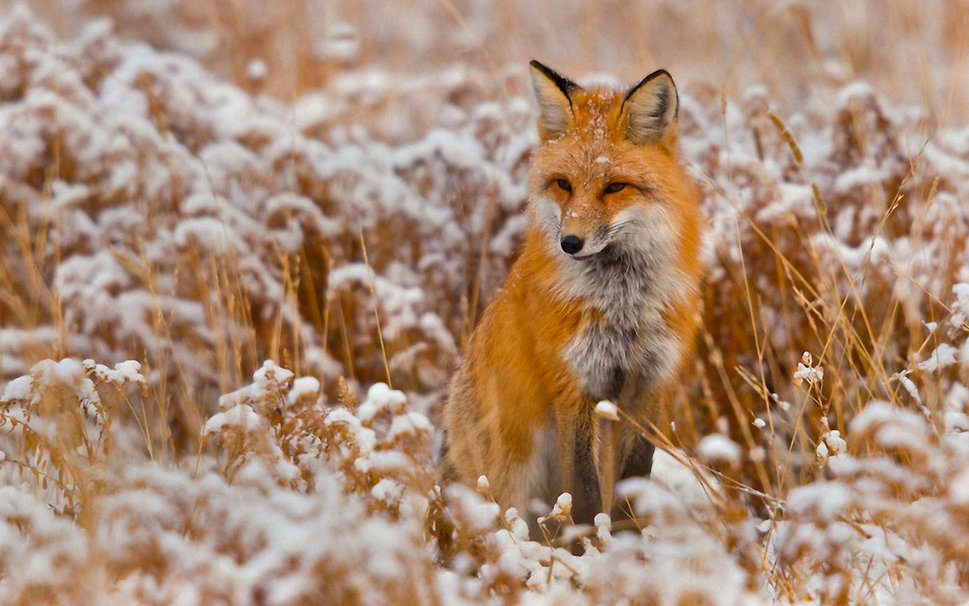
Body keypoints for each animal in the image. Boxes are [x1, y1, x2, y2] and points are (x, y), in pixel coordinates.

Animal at [442, 60, 703, 525]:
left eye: (615, 187)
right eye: (563, 184)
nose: (570, 243)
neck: (622, 304)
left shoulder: (649, 385)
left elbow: (633, 482)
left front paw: (626, 538)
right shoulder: (573, 385)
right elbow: (581, 492)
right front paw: (587, 539)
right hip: (512, 477)